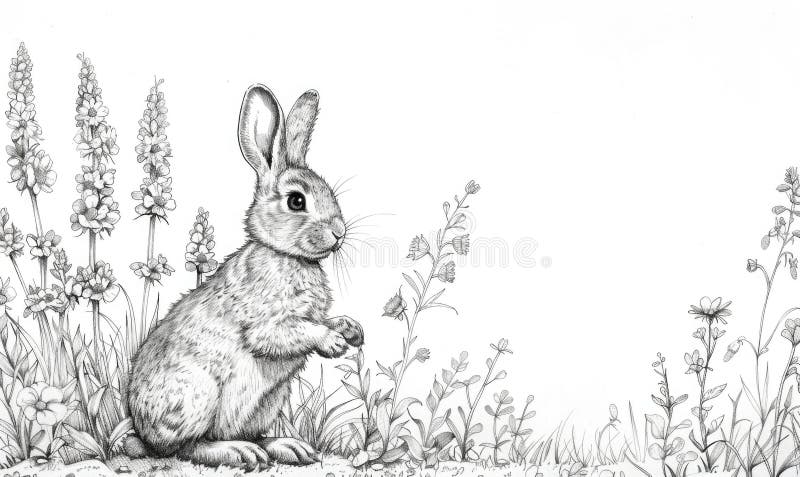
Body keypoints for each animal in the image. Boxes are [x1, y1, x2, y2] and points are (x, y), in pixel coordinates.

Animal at [126, 84, 364, 471]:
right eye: (296, 201)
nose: (338, 233)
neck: (285, 255)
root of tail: (141, 429)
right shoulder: (266, 323)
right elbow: (287, 333)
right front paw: (332, 342)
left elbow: (325, 319)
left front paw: (352, 330)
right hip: (198, 397)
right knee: (185, 447)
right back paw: (240, 453)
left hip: (269, 402)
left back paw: (288, 448)